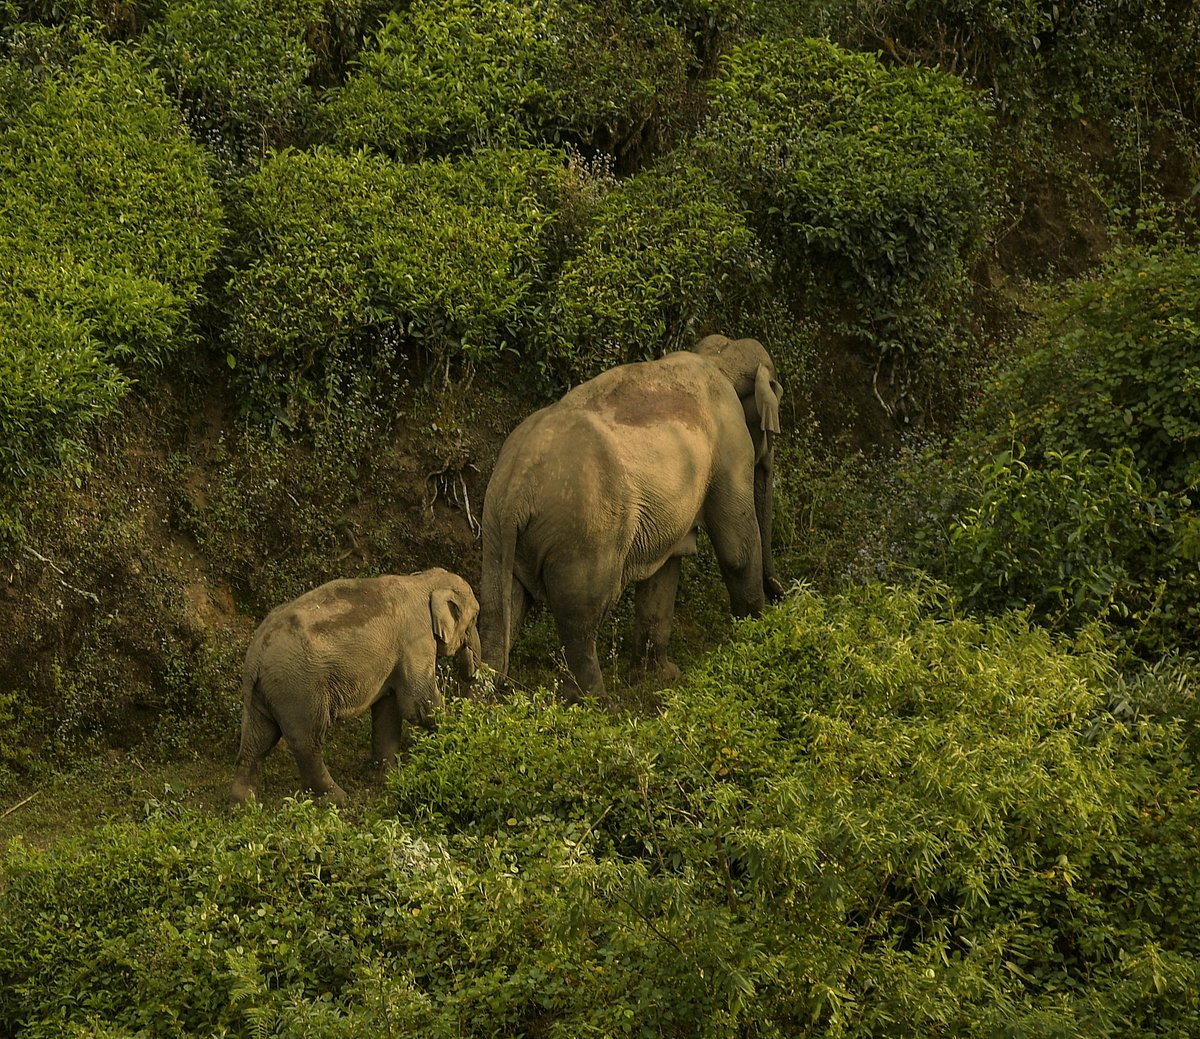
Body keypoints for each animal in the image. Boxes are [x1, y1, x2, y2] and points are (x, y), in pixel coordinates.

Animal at [230, 568, 480, 804]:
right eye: (476, 616)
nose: (469, 673)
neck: (422, 581)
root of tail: (257, 653)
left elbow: (388, 708)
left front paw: (385, 780)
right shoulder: (416, 637)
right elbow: (418, 705)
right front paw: (461, 740)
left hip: (264, 688)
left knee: (258, 736)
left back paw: (245, 804)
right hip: (297, 685)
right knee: (307, 739)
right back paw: (336, 798)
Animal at [479, 333, 783, 699]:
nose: (781, 594)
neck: (719, 357)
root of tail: (516, 486)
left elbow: (666, 569)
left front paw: (659, 679)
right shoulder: (730, 443)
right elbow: (737, 552)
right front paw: (755, 643)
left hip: (496, 527)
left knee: (498, 608)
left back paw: (483, 701)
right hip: (583, 532)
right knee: (581, 616)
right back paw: (597, 704)